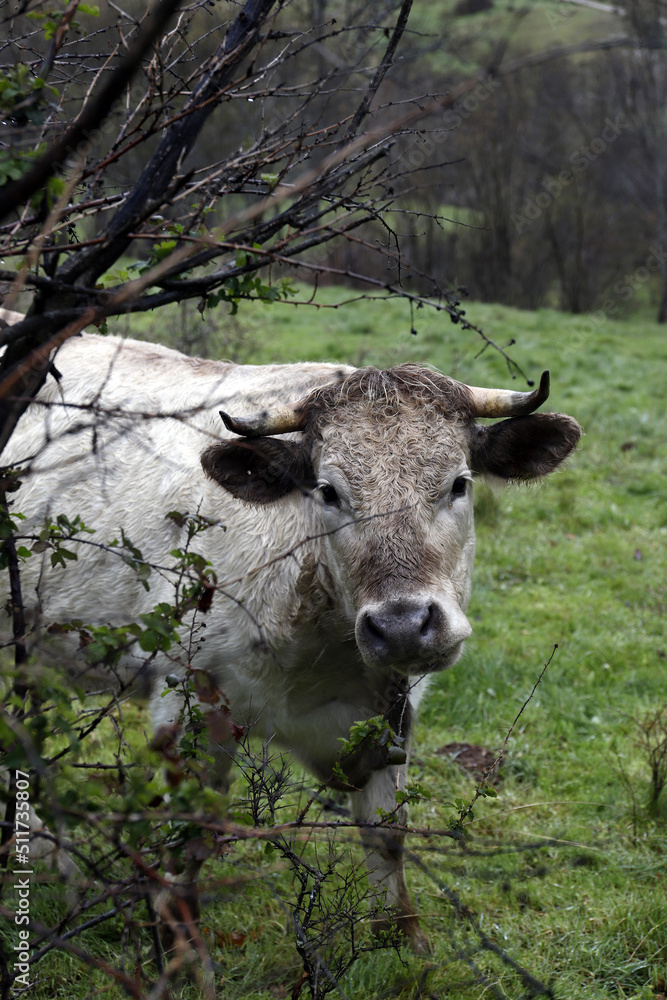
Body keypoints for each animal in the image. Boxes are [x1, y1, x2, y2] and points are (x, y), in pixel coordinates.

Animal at [1, 331, 581, 952]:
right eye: (327, 491)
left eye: (459, 483)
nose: (402, 624)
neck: (326, 650)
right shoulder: (188, 694)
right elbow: (185, 842)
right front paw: (181, 950)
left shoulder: (393, 710)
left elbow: (387, 833)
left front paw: (405, 946)